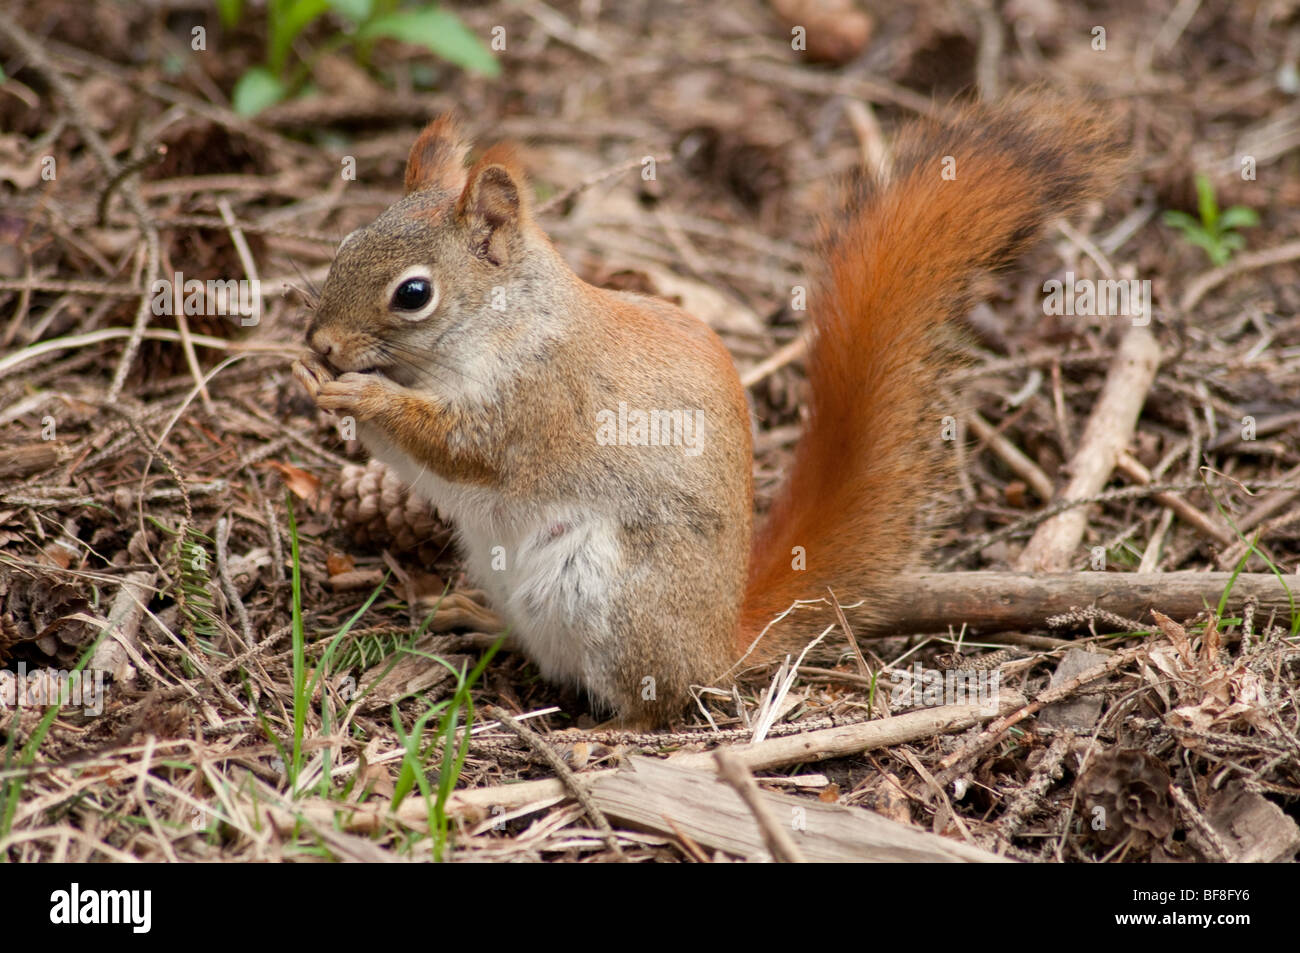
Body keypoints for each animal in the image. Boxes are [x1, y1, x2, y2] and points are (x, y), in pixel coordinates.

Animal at [294, 95, 1127, 727]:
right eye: (343, 244)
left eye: (414, 294)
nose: (321, 341)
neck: (506, 323)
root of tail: (721, 641)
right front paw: (310, 377)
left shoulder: (538, 400)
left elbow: (461, 448)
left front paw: (361, 393)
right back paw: (481, 620)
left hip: (617, 600)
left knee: (654, 701)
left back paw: (601, 735)